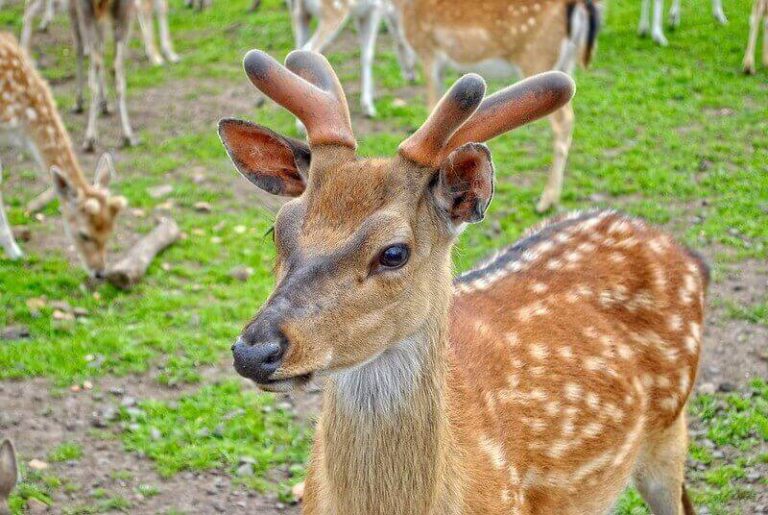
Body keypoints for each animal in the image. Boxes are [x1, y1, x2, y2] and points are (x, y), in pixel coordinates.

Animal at [388, 0, 601, 213]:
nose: (408, 75)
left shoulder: (428, 50)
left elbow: (432, 106)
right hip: (567, 63)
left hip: (538, 57)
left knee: (564, 121)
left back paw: (546, 201)